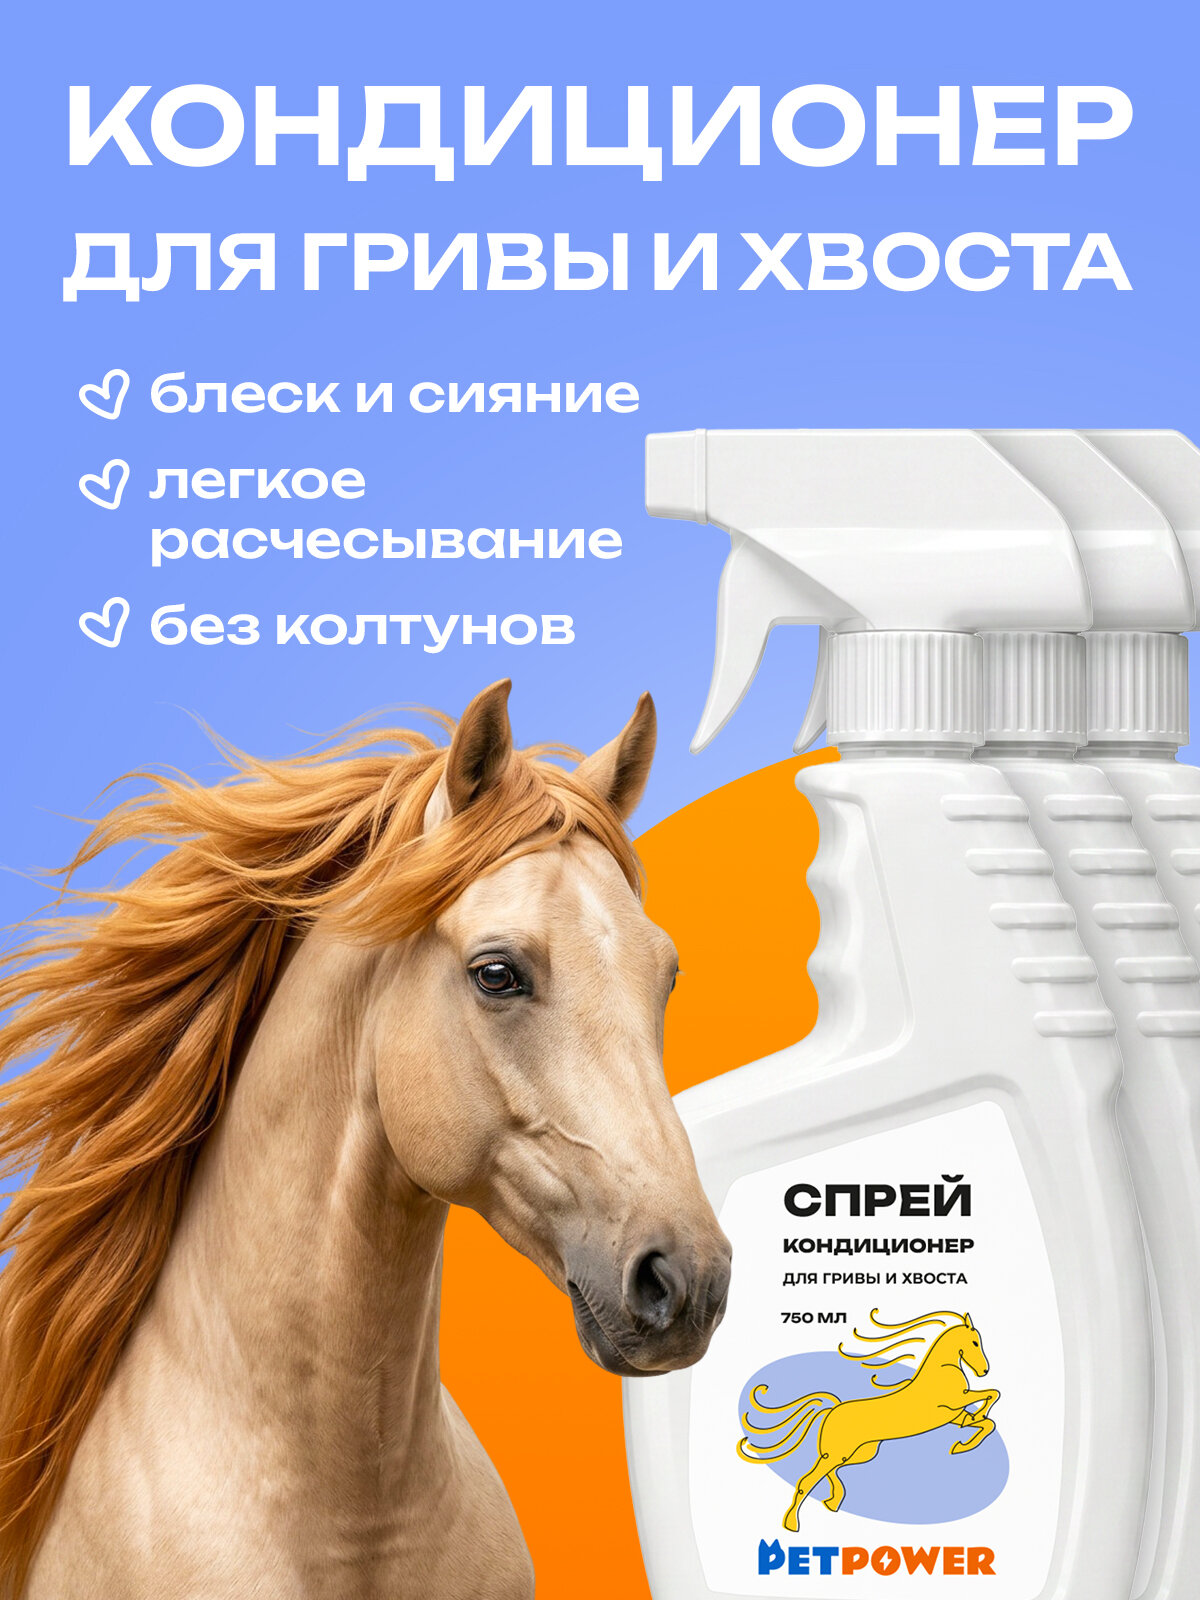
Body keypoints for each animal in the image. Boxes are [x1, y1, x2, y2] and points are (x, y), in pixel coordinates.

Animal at [738, 1309, 1000, 1532]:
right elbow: (991, 1394)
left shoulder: (953, 1415)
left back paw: (833, 1502)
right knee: (807, 1480)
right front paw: (976, 1420)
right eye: (975, 1342)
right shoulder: (953, 1403)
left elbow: (987, 1419)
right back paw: (793, 1523)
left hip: (859, 1453)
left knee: (831, 1473)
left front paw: (962, 1444)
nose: (984, 1371)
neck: (941, 1370)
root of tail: (832, 1409)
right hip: (838, 1453)